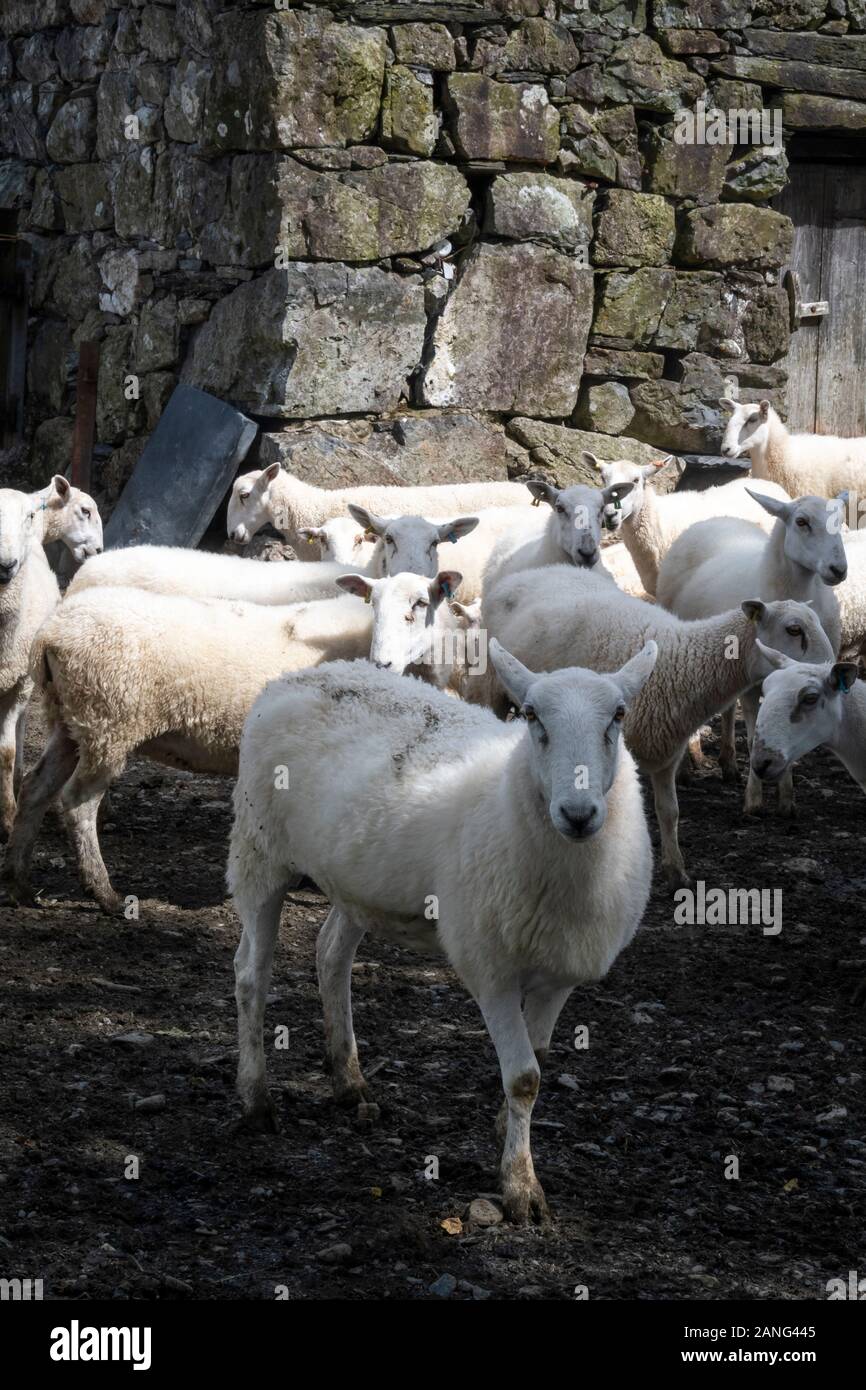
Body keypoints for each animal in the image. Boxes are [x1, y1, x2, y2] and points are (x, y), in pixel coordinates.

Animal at [2, 570, 465, 910]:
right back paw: (105, 894)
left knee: (36, 788)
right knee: (78, 804)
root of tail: (51, 632)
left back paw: (21, 884)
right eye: (374, 602)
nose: (382, 661)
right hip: (110, 721)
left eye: (420, 604)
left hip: (72, 722)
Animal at [228, 640, 658, 1223]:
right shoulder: (489, 965)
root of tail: (296, 677)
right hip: (260, 850)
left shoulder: (559, 971)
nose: (578, 812)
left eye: (618, 715)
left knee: (330, 955)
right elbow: (524, 1077)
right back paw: (256, 1100)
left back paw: (349, 1079)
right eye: (531, 717)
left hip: (358, 881)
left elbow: (540, 1062)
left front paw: (505, 1132)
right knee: (251, 975)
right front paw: (521, 1187)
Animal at [470, 565, 834, 886]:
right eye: (794, 629)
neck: (679, 663)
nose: (832, 669)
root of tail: (527, 572)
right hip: (493, 688)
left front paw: (676, 871)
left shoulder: (666, 752)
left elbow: (669, 811)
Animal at [656, 490, 847, 812]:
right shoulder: (752, 684)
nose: (838, 569)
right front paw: (754, 801)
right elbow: (755, 735)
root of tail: (715, 519)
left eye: (842, 521)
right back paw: (685, 770)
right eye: (802, 522)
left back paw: (729, 765)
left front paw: (786, 801)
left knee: (727, 708)